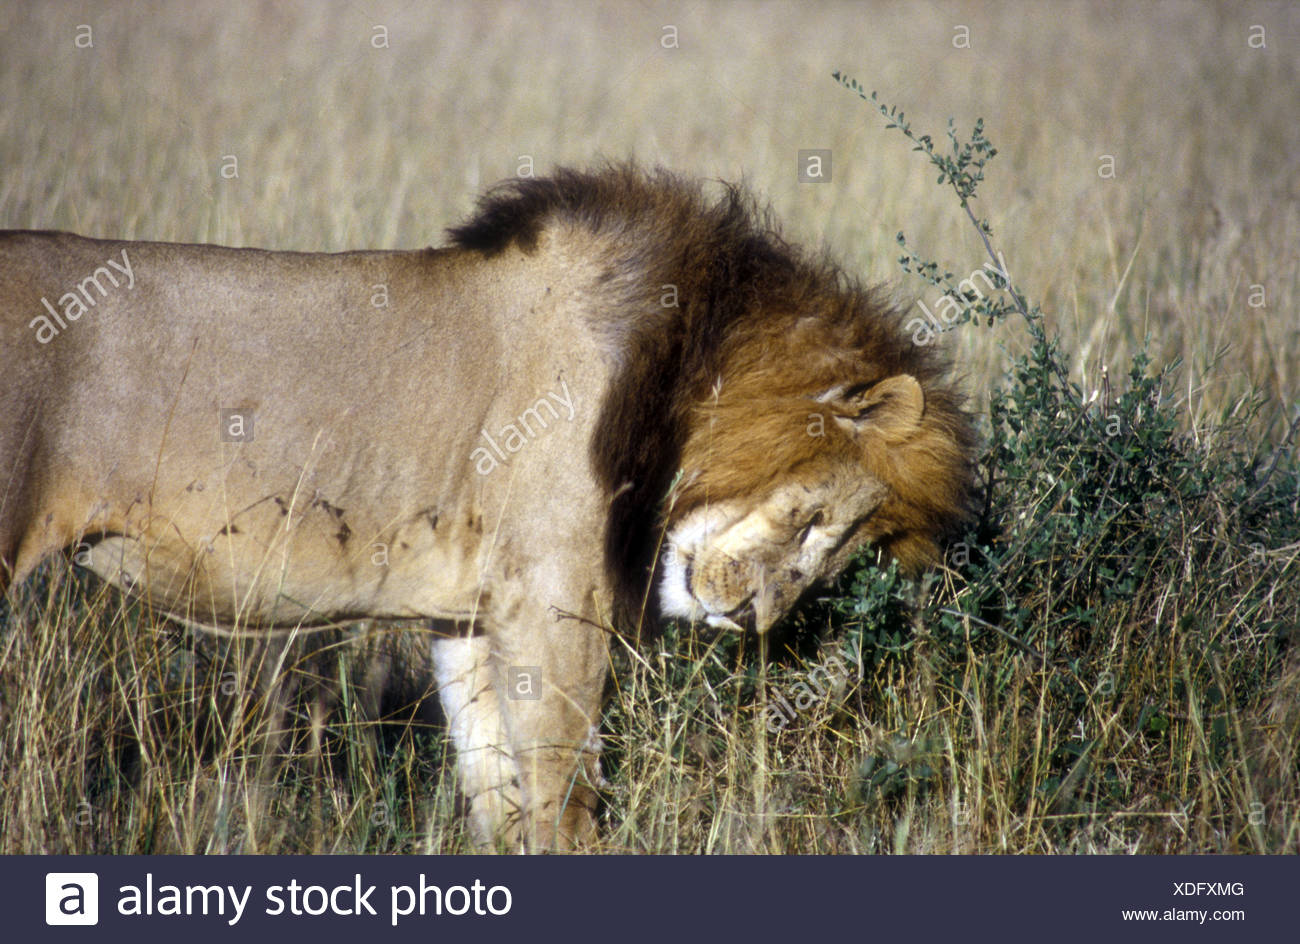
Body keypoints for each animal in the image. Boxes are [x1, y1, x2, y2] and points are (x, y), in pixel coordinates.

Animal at [0, 165, 975, 850]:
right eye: (814, 521)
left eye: (842, 555)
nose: (747, 621)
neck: (685, 370)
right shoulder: (555, 605)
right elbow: (563, 804)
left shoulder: (466, 618)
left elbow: (497, 799)